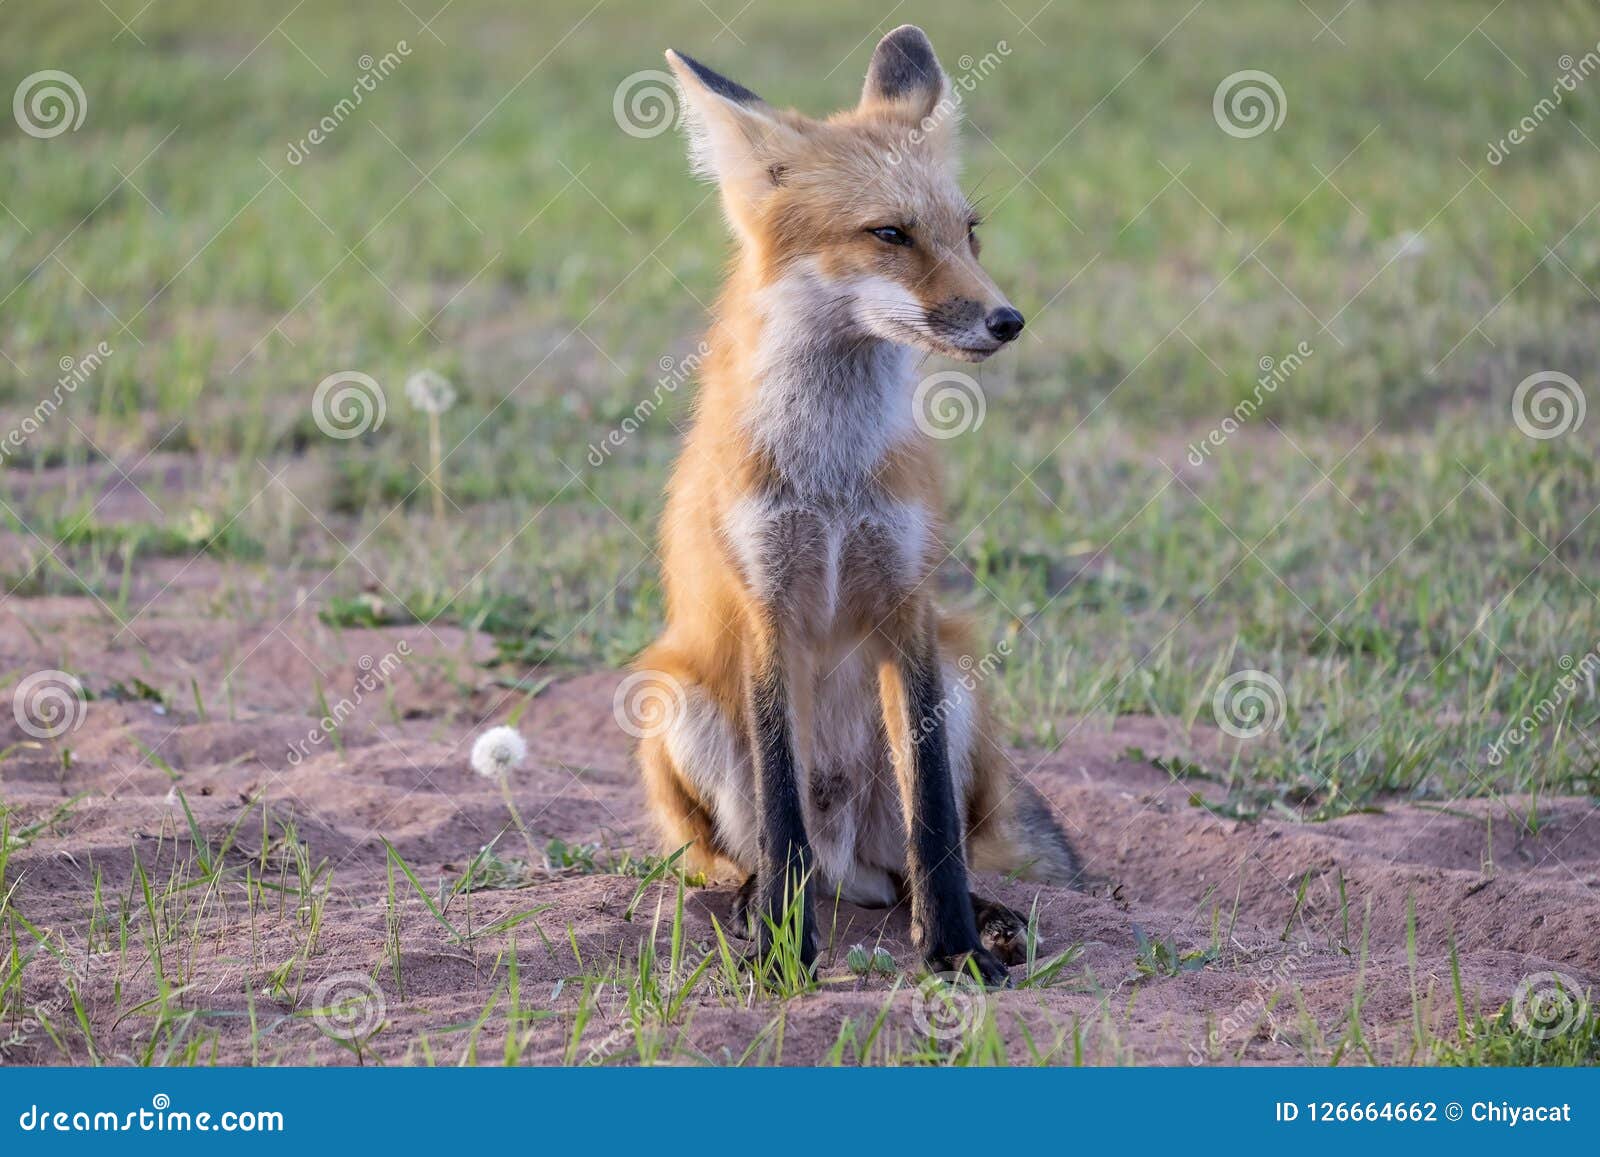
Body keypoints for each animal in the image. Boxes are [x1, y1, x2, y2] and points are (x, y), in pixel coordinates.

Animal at [633, 25, 1079, 985]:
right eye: (890, 234)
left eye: (969, 232)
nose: (1008, 320)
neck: (832, 480)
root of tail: (849, 866)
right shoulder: (766, 605)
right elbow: (781, 808)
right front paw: (782, 952)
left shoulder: (908, 602)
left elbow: (934, 816)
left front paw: (953, 949)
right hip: (676, 701)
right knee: (754, 851)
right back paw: (752, 904)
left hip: (961, 680)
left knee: (906, 854)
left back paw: (977, 917)